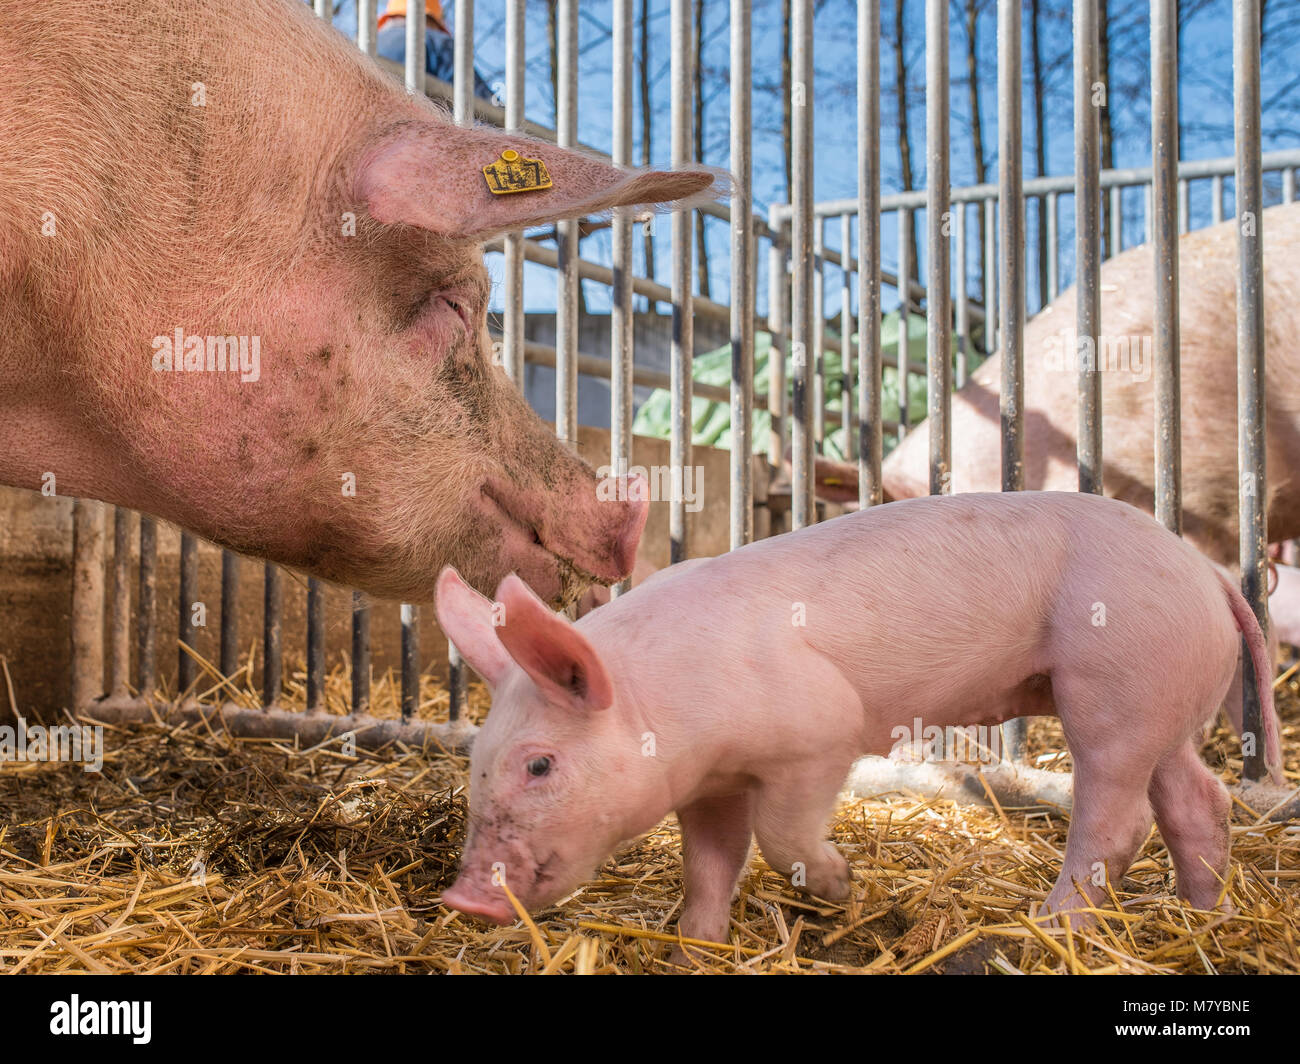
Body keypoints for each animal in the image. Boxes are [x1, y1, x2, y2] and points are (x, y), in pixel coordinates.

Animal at [435, 491, 1283, 946]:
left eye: (540, 763)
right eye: (476, 764)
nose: (463, 898)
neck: (665, 700)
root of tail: (1209, 574)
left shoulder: (819, 735)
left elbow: (782, 836)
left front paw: (846, 888)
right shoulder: (708, 784)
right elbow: (711, 861)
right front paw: (695, 946)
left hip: (1111, 686)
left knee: (1118, 816)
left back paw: (1051, 927)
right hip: (1160, 702)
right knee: (1195, 799)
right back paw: (1204, 913)